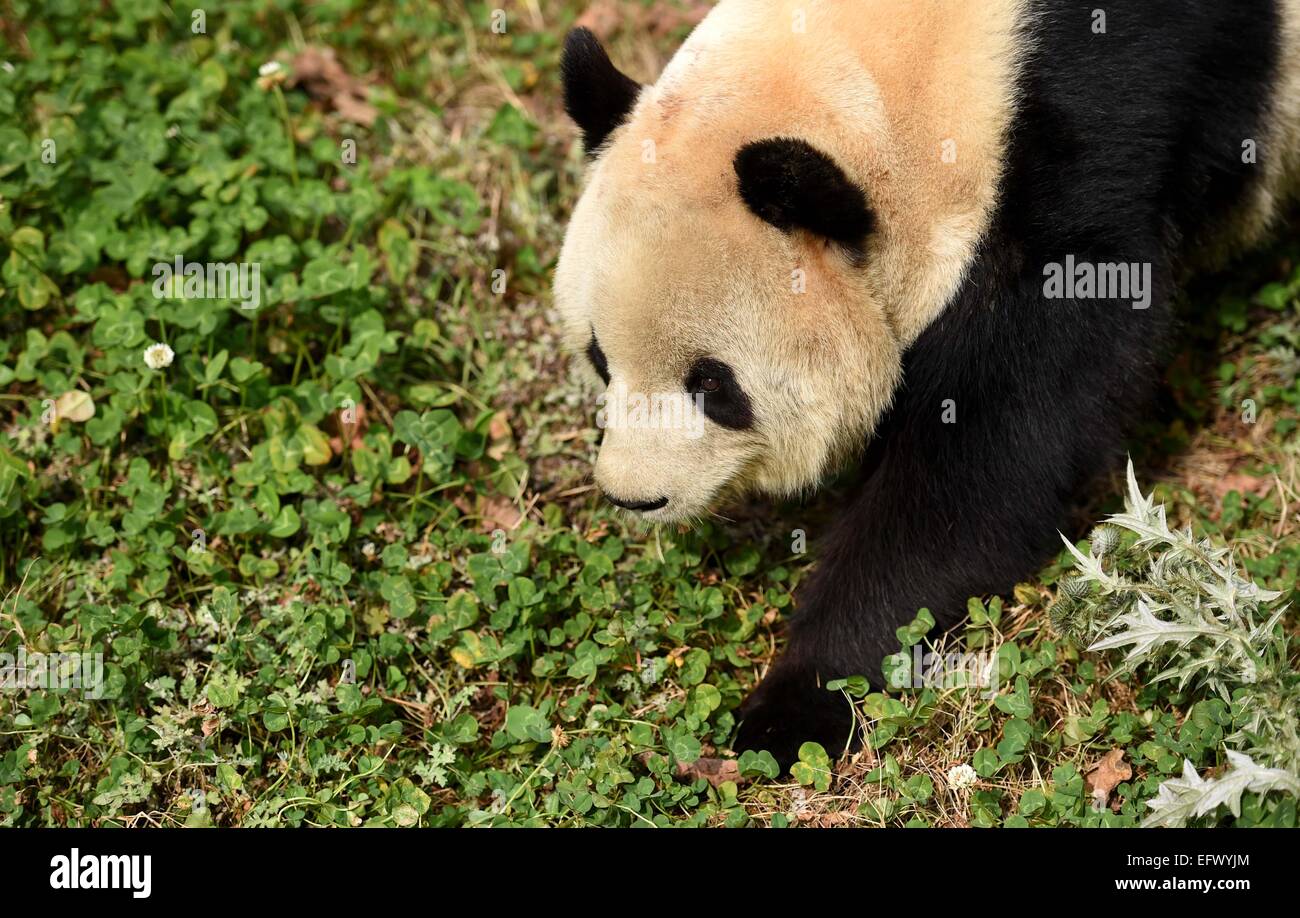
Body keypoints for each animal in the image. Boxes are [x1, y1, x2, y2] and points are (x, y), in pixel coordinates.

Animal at [553, 0, 1300, 769]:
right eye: (601, 358)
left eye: (712, 384)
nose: (633, 496)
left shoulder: (1085, 141)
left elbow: (994, 444)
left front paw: (793, 705)